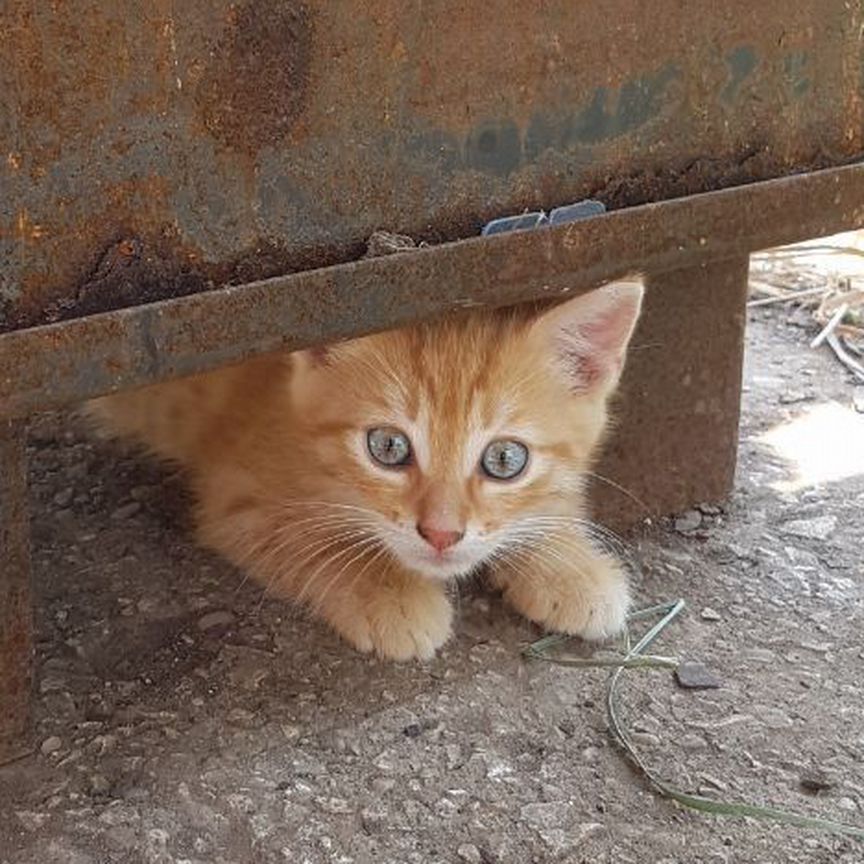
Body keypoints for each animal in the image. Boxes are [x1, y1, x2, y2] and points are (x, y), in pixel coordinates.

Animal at [88, 276, 643, 660]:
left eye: (505, 459)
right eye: (388, 447)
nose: (441, 535)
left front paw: (569, 565)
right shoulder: (238, 499)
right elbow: (315, 540)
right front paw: (390, 593)